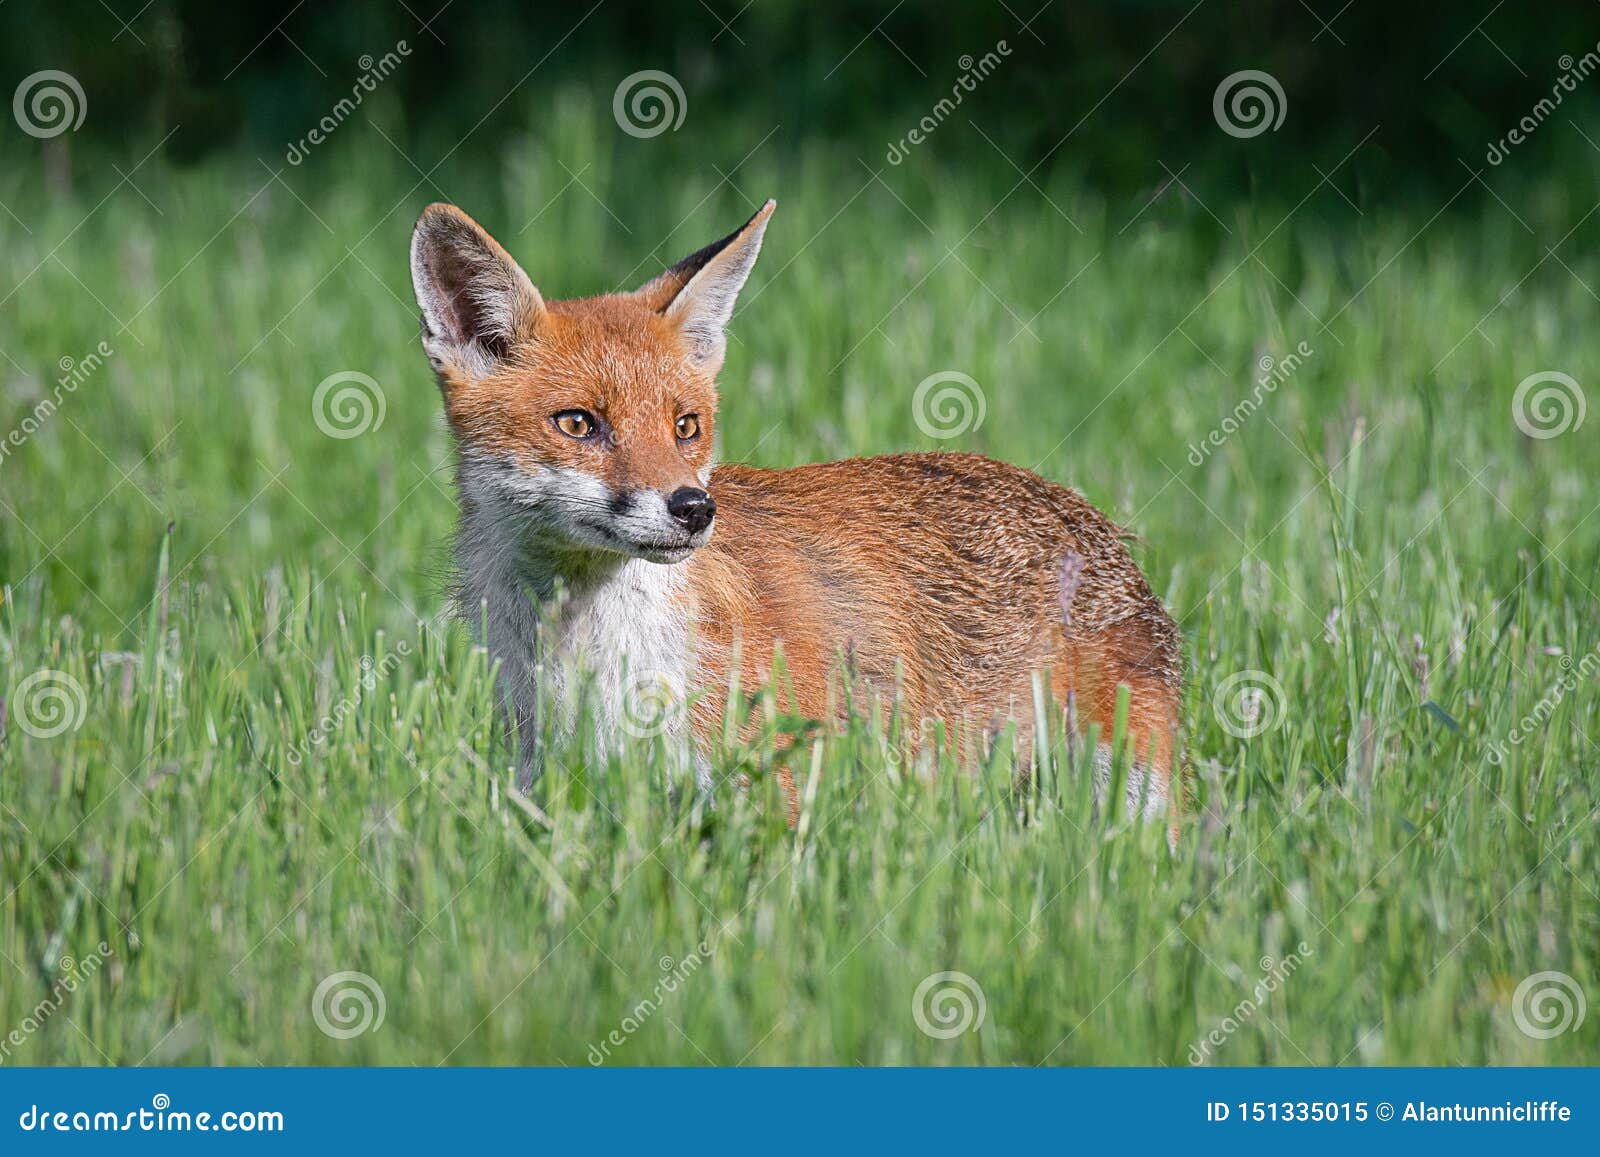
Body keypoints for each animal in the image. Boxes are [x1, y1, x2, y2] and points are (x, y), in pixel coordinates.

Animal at [409, 198, 1183, 821]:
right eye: (578, 424)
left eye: (686, 426)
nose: (694, 509)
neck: (587, 651)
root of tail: (1081, 512)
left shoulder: (772, 797)